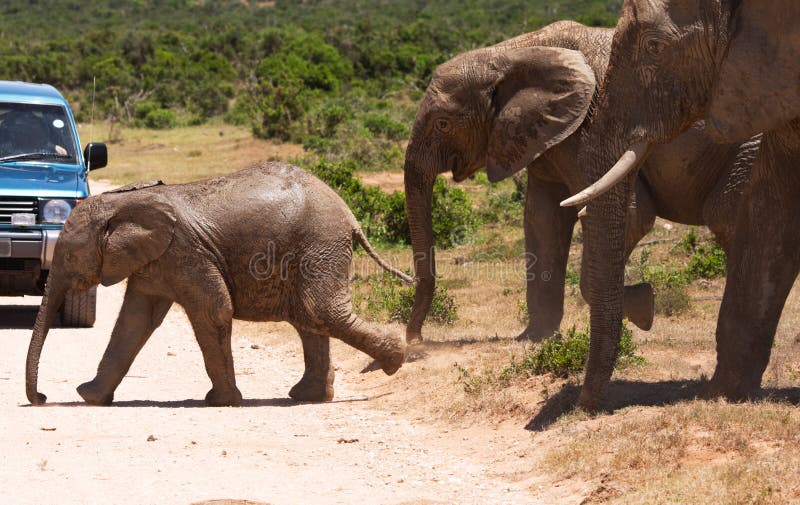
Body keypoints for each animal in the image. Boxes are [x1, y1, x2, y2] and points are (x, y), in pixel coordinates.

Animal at [25, 162, 410, 407]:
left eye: (69, 255)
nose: (42, 398)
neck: (122, 203)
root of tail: (349, 215)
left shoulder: (185, 252)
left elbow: (213, 311)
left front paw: (221, 402)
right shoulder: (155, 261)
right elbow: (134, 321)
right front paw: (89, 396)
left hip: (319, 244)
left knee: (319, 312)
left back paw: (395, 361)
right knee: (309, 318)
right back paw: (308, 396)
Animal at [403, 20, 759, 344]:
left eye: (443, 123)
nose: (415, 342)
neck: (512, 52)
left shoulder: (593, 128)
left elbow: (630, 213)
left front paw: (645, 308)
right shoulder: (546, 138)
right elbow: (543, 220)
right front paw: (535, 339)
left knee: (724, 217)